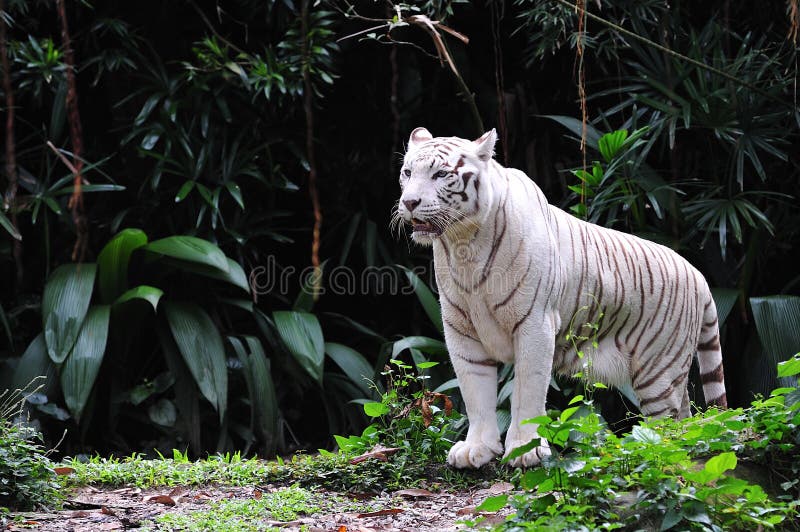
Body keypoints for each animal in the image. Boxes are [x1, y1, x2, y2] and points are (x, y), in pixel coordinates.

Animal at [394, 127, 727, 469]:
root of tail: (697, 273)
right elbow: (475, 391)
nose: (409, 201)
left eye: (441, 174)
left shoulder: (534, 324)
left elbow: (528, 389)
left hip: (659, 371)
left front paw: (525, 450)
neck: (463, 243)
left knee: (671, 427)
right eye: (407, 172)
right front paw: (477, 448)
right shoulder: (461, 330)